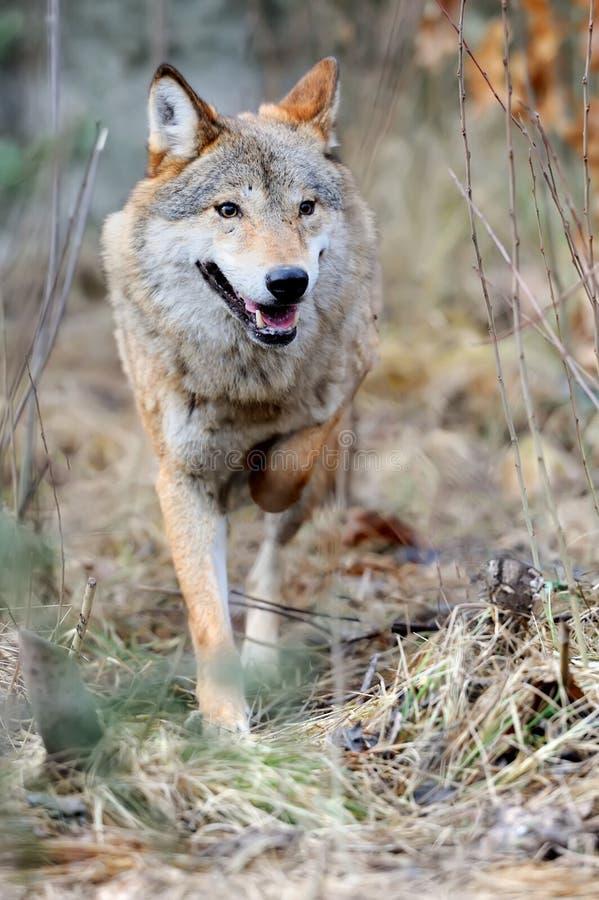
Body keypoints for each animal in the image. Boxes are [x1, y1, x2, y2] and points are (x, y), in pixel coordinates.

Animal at [102, 58, 380, 732]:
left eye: (305, 207)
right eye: (228, 210)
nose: (289, 282)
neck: (245, 380)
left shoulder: (347, 384)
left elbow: (289, 461)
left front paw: (261, 471)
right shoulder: (181, 480)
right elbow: (207, 614)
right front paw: (226, 725)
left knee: (273, 559)